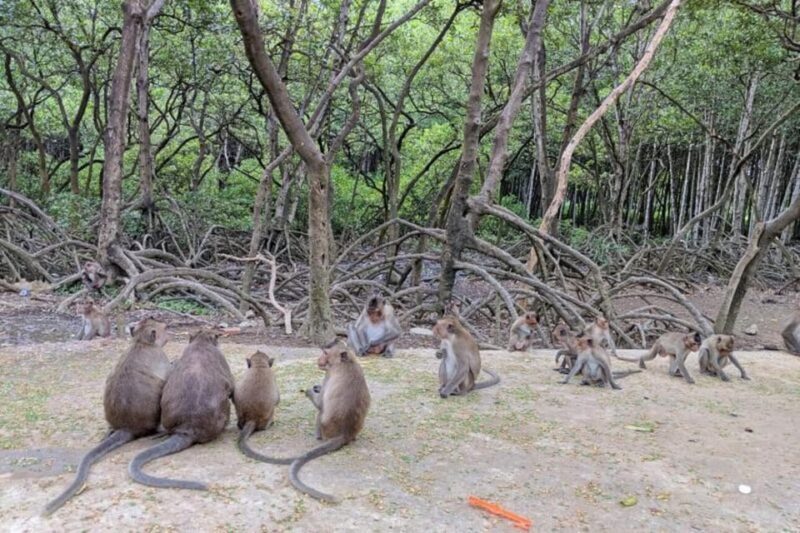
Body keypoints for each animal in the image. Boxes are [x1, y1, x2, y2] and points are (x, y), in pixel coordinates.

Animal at [289, 340, 371, 502]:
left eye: (326, 353)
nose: (319, 359)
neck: (347, 362)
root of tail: (344, 434)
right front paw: (316, 387)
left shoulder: (328, 374)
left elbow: (320, 404)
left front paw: (310, 390)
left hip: (324, 428)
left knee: (320, 412)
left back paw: (317, 437)